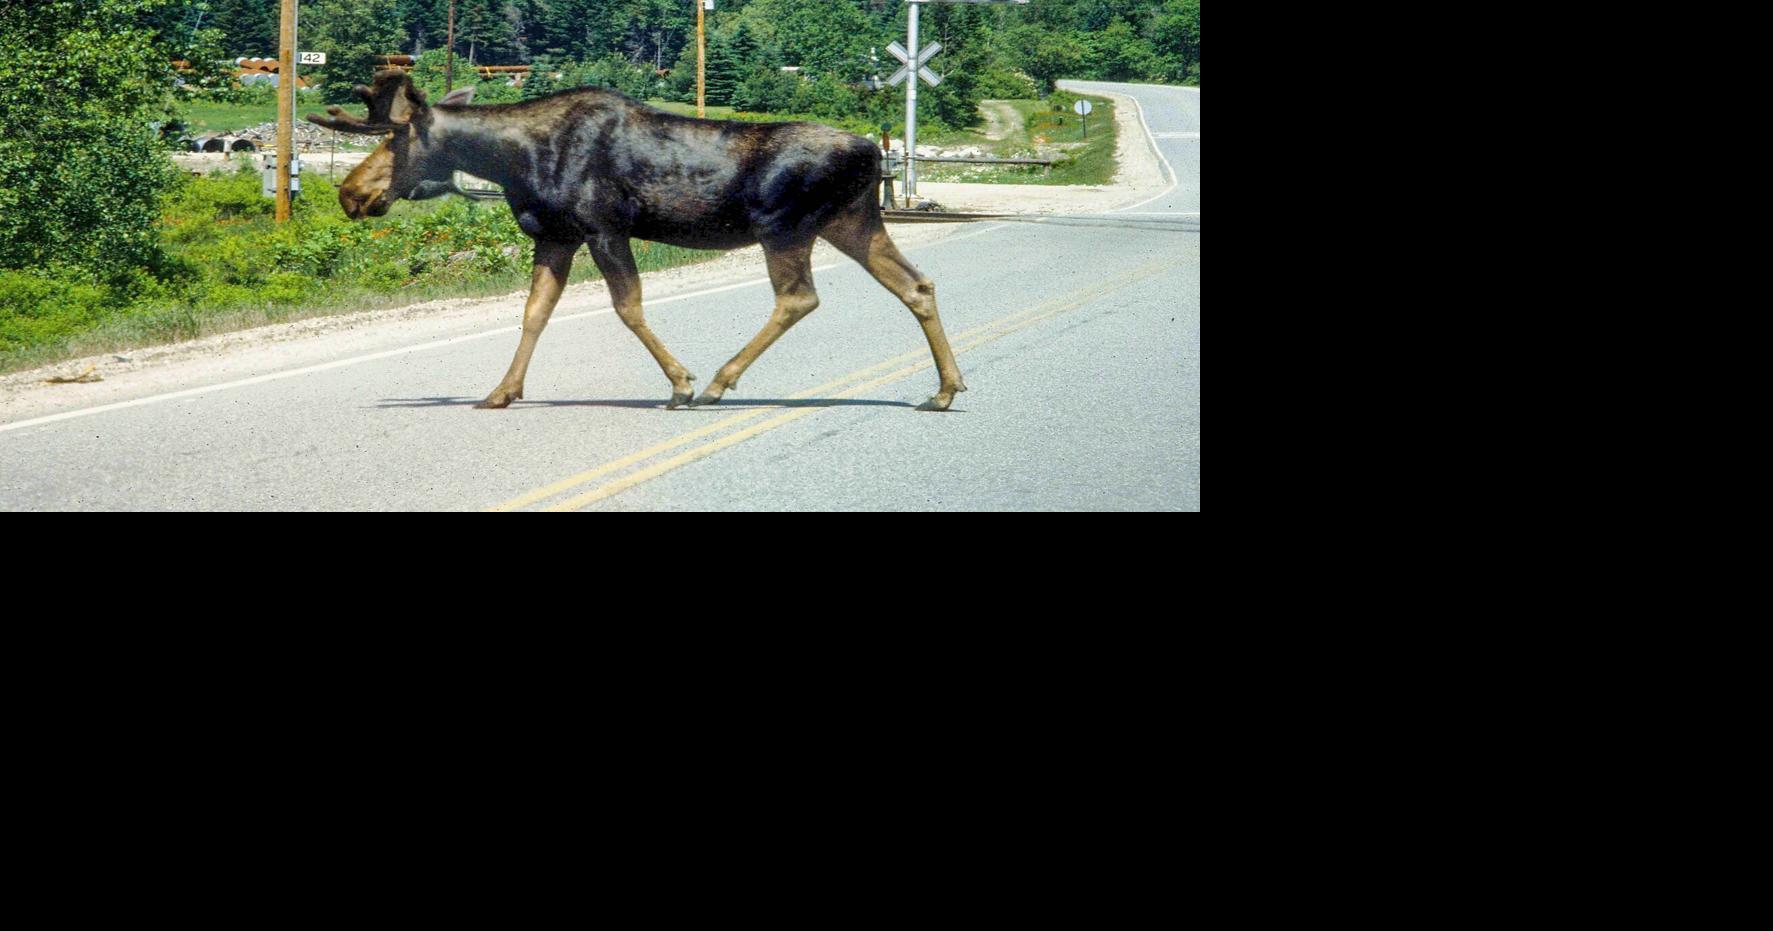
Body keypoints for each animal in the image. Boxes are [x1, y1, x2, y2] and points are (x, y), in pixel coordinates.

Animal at [307, 72, 967, 412]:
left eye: (393, 139)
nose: (349, 192)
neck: (511, 162)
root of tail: (875, 150)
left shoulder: (604, 226)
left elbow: (627, 306)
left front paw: (680, 383)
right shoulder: (555, 236)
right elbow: (534, 312)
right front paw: (501, 391)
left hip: (785, 225)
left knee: (798, 297)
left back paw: (719, 382)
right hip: (851, 222)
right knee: (917, 284)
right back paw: (944, 389)